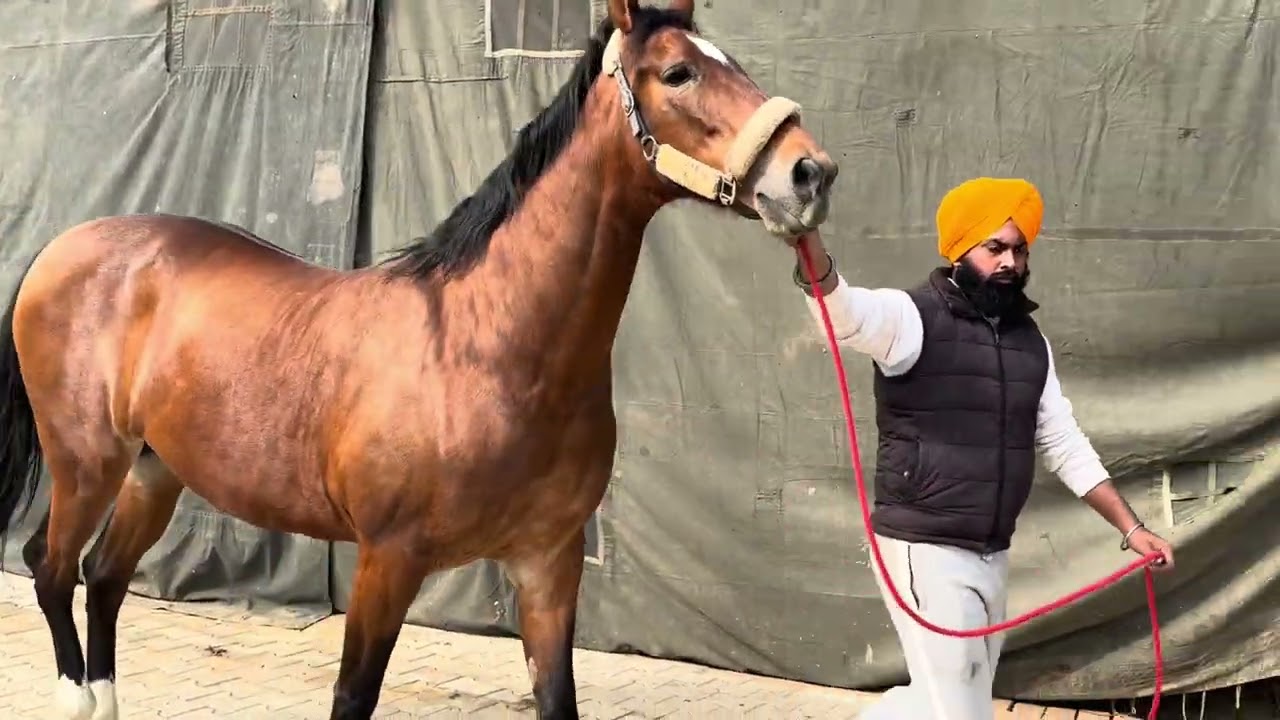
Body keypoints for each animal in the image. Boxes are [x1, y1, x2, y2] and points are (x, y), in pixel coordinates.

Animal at [0, 0, 837, 717]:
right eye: (678, 73)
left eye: (734, 62)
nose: (811, 173)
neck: (489, 347)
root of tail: (61, 247)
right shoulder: (385, 562)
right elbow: (353, 697)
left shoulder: (548, 565)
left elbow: (556, 699)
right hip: (87, 463)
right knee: (51, 567)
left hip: (154, 470)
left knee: (105, 579)